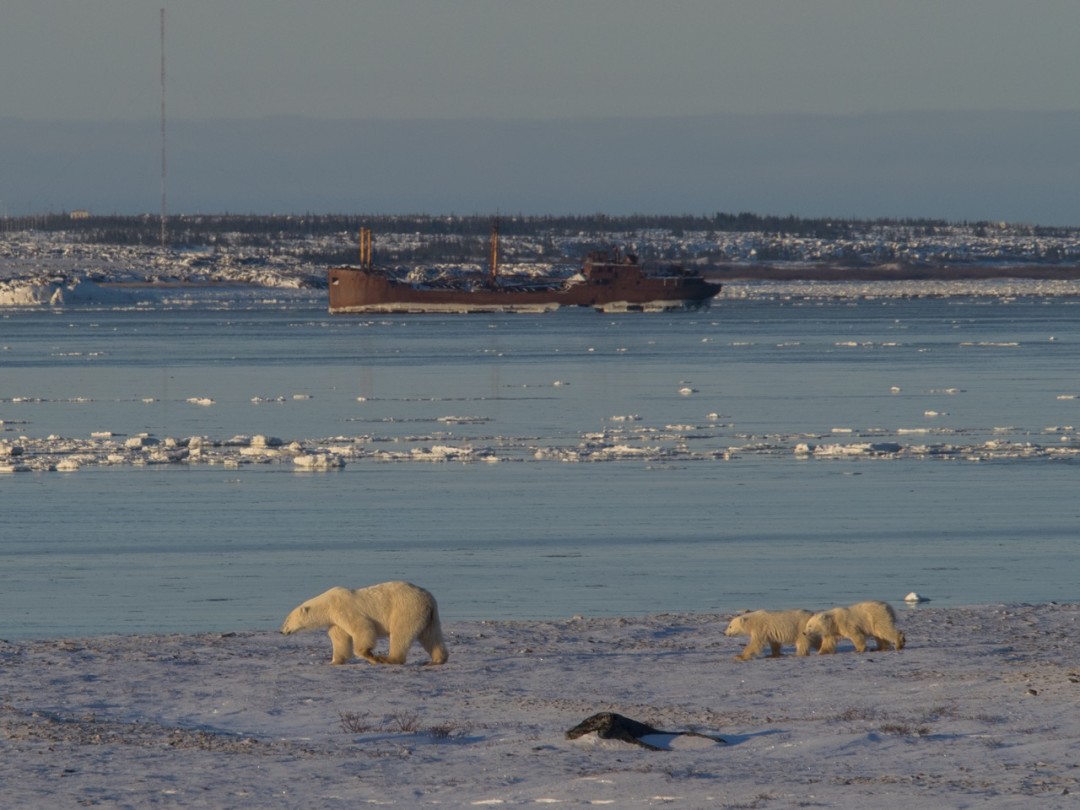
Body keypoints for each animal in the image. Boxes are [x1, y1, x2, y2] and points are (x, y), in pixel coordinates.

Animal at [280, 581, 448, 666]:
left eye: (286, 620)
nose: (281, 631)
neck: (328, 604)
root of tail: (428, 598)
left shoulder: (343, 608)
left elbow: (362, 627)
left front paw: (370, 656)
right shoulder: (335, 621)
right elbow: (340, 639)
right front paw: (335, 661)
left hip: (406, 609)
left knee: (401, 634)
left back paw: (389, 659)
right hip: (428, 615)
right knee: (431, 636)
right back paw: (439, 658)